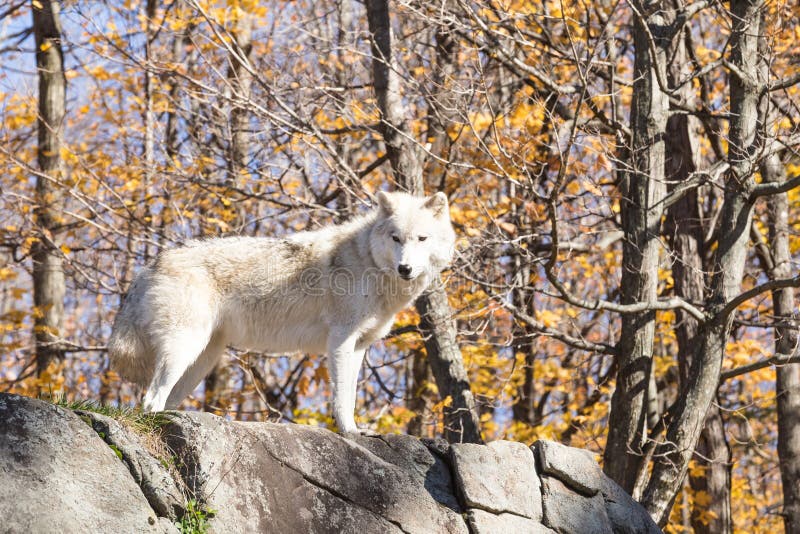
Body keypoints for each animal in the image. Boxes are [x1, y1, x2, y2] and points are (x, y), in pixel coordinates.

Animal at [108, 191, 455, 433]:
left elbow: (351, 394)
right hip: (184, 349)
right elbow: (342, 397)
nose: (405, 268)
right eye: (395, 238)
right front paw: (350, 433)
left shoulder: (359, 346)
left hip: (201, 361)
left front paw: (356, 430)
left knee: (163, 399)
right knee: (150, 399)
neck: (368, 262)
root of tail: (150, 265)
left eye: (421, 239)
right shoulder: (340, 341)